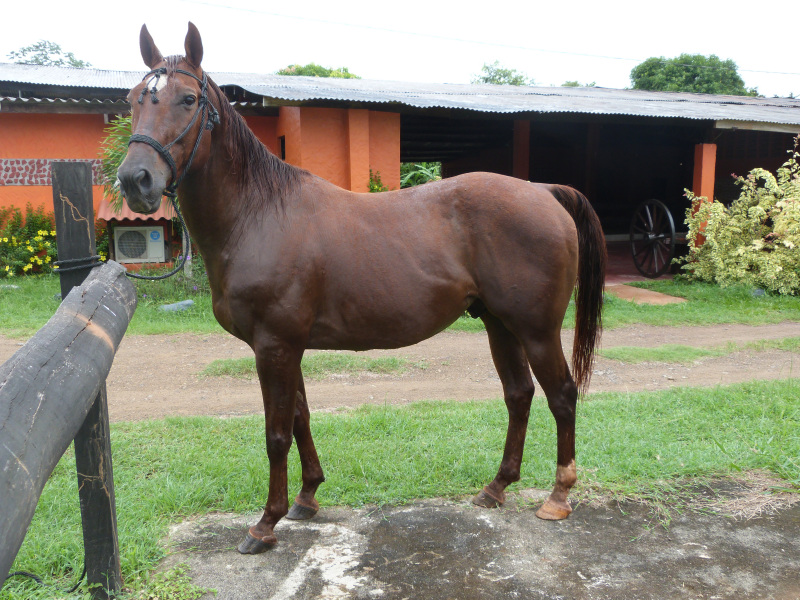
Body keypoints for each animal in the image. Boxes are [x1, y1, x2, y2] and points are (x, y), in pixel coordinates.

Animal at [118, 23, 607, 555]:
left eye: (187, 99)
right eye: (133, 99)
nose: (135, 180)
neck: (259, 215)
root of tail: (542, 191)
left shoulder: (274, 346)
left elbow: (275, 434)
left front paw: (265, 524)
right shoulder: (287, 346)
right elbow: (300, 419)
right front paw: (306, 498)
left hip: (537, 330)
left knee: (562, 394)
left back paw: (558, 496)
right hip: (499, 324)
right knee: (519, 395)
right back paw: (495, 488)